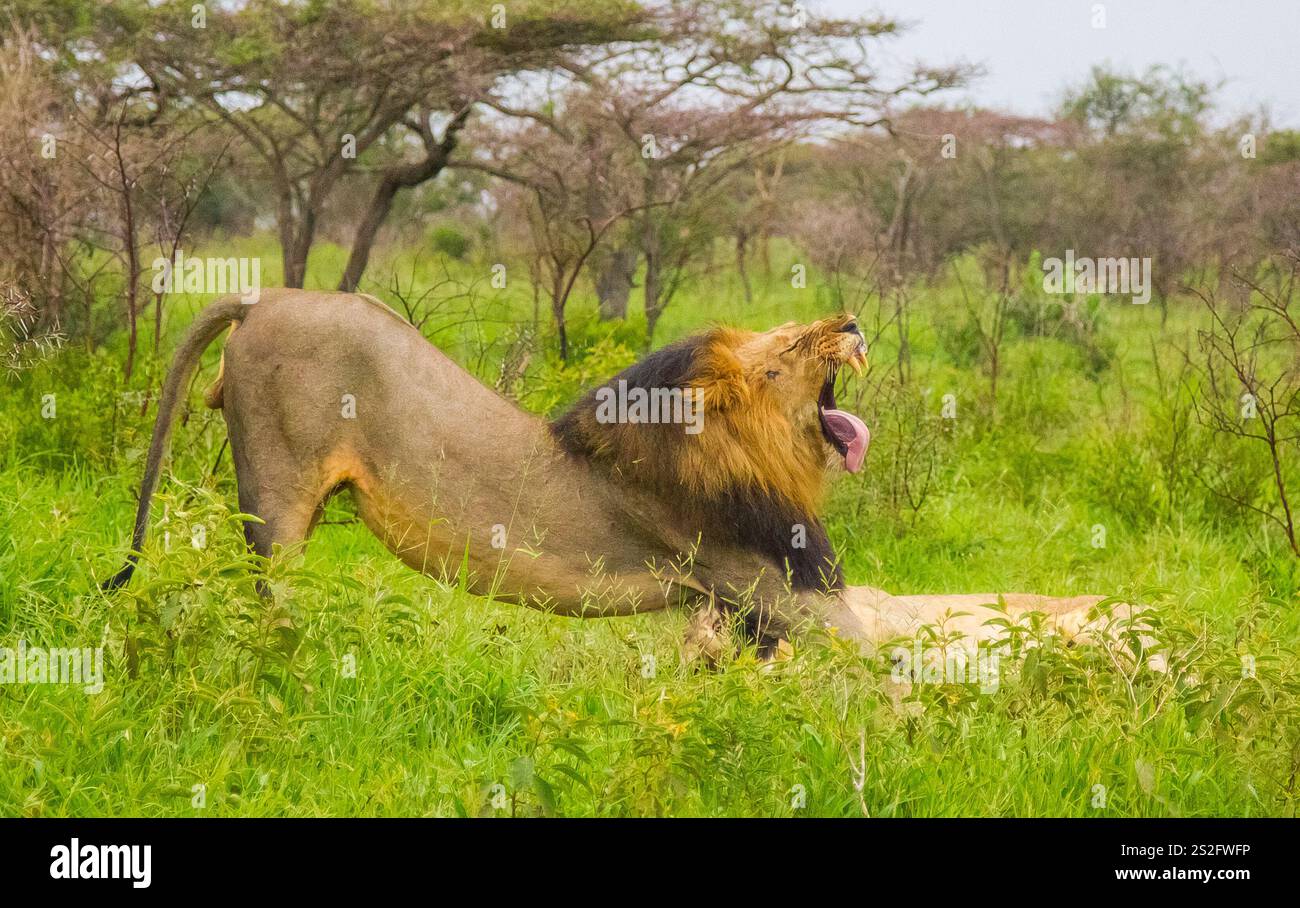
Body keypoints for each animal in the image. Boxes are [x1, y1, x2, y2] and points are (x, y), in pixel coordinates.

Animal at [104, 289, 1156, 666]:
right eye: (788, 348)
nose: (854, 321)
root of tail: (255, 298)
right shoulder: (781, 586)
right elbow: (897, 637)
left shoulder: (748, 605)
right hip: (277, 501)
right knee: (268, 597)